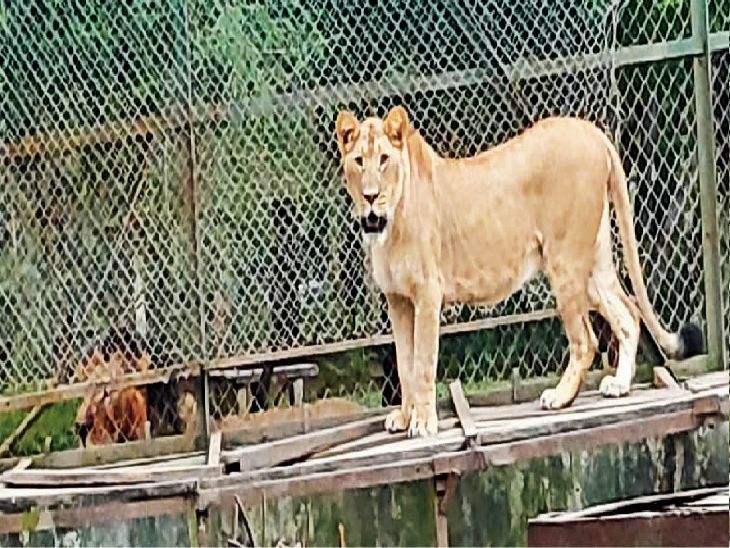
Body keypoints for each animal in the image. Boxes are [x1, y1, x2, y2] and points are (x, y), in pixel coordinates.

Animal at [335, 106, 703, 438]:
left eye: (384, 159)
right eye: (359, 161)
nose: (370, 196)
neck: (386, 225)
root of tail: (593, 132)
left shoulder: (427, 293)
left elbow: (423, 363)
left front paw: (423, 424)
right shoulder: (397, 299)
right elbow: (404, 364)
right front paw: (404, 417)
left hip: (564, 261)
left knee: (586, 340)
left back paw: (560, 397)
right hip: (593, 262)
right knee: (628, 314)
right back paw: (620, 385)